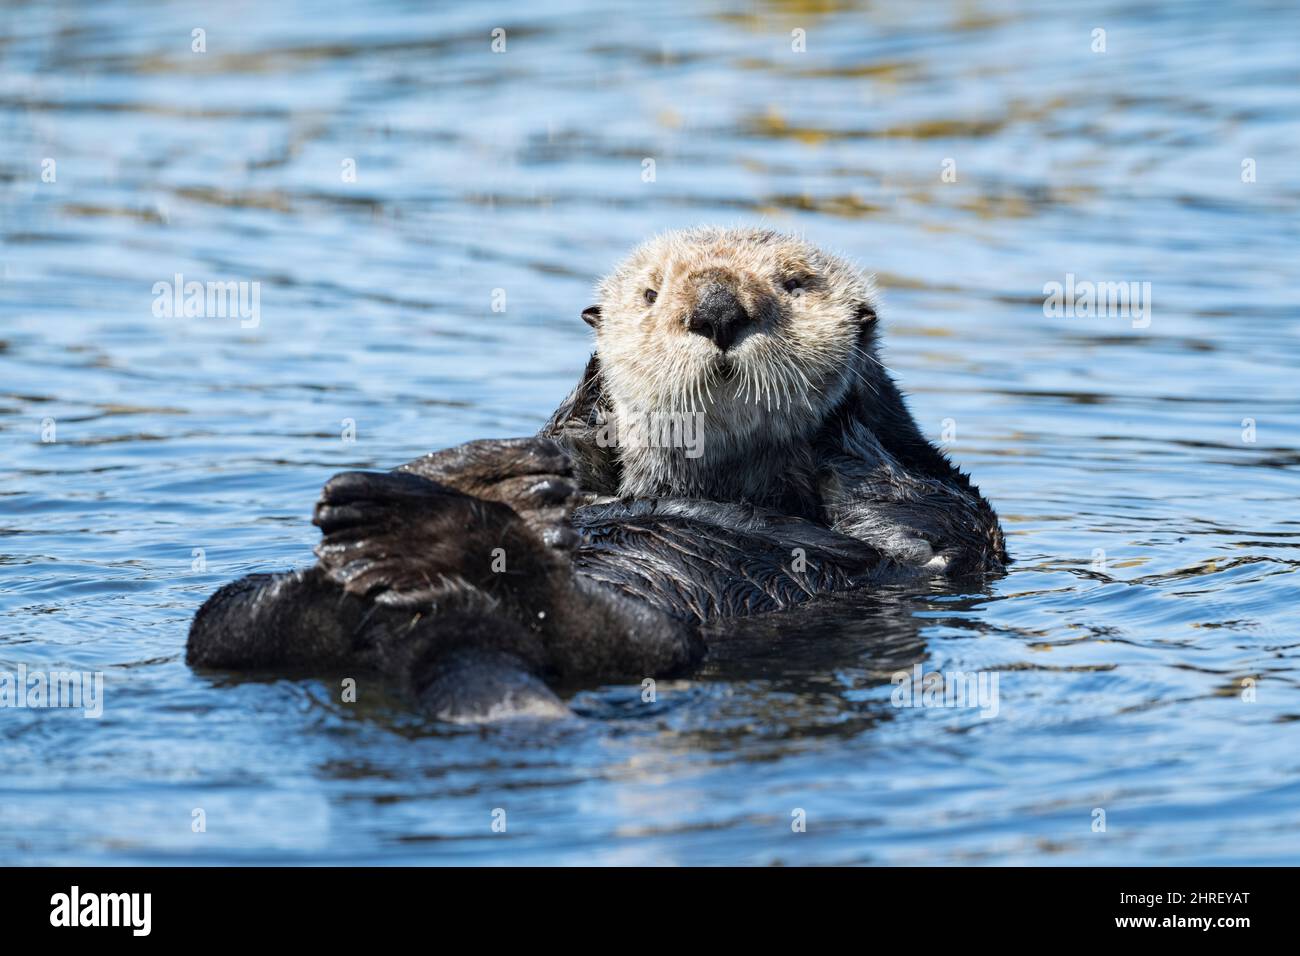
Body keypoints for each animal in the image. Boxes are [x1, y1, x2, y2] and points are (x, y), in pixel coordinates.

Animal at [188, 227, 1007, 721]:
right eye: (650, 293)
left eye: (796, 284)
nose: (716, 309)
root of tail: (441, 625)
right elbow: (574, 452)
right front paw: (577, 414)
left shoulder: (947, 522)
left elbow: (924, 525)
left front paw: (849, 410)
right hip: (237, 609)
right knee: (230, 622)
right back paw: (428, 499)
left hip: (655, 638)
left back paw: (424, 526)